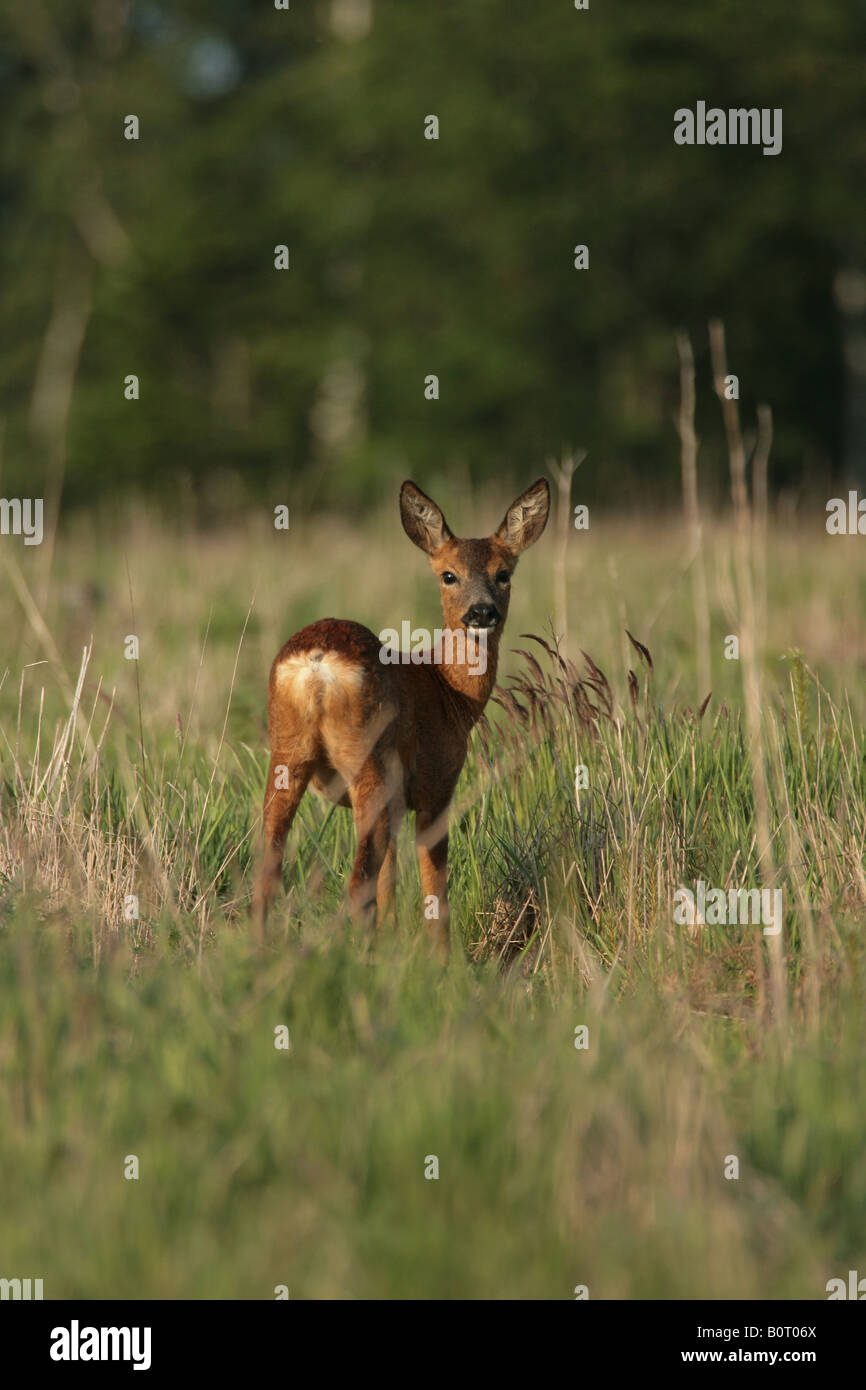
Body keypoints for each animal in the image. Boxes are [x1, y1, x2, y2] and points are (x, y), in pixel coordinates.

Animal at [252, 477, 550, 961]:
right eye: (448, 574)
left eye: (504, 573)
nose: (482, 612)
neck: (448, 690)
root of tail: (316, 666)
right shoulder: (436, 785)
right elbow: (433, 888)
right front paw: (444, 963)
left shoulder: (396, 804)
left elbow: (391, 883)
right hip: (368, 762)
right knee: (357, 884)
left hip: (286, 757)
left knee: (268, 872)